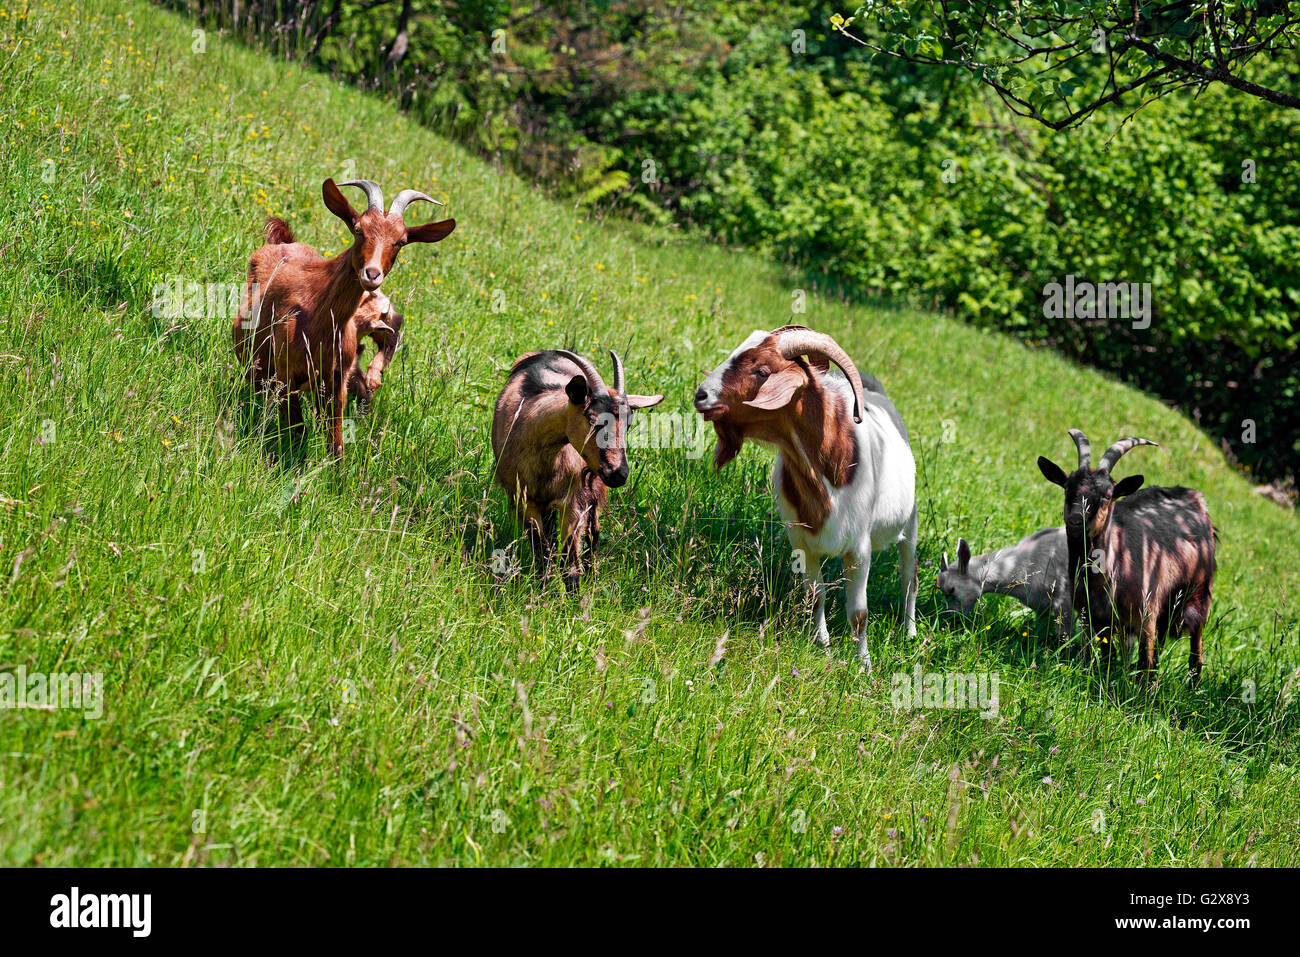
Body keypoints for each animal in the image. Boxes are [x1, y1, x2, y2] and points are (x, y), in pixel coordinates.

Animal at [233, 179, 454, 456]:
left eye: (401, 241)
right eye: (359, 229)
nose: (372, 274)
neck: (318, 320)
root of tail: (283, 242)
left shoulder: (337, 382)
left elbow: (335, 443)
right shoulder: (286, 374)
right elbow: (298, 430)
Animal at [492, 349, 663, 586]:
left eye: (628, 424)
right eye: (592, 419)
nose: (619, 474)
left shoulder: (574, 501)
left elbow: (570, 565)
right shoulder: (525, 500)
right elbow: (542, 554)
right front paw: (543, 588)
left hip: (593, 488)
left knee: (593, 533)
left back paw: (592, 574)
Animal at [693, 325, 918, 671]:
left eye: (761, 371)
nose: (701, 395)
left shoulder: (859, 547)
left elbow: (859, 612)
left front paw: (863, 666)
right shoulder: (802, 543)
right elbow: (816, 596)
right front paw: (823, 648)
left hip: (911, 522)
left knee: (909, 578)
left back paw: (910, 632)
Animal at [1038, 429, 1215, 682]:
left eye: (1107, 495)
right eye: (1067, 487)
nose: (1075, 521)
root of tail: (1197, 498)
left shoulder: (1146, 614)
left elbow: (1145, 661)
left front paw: (1143, 691)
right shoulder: (1092, 617)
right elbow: (1107, 656)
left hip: (1199, 593)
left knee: (1195, 645)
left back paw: (1194, 683)